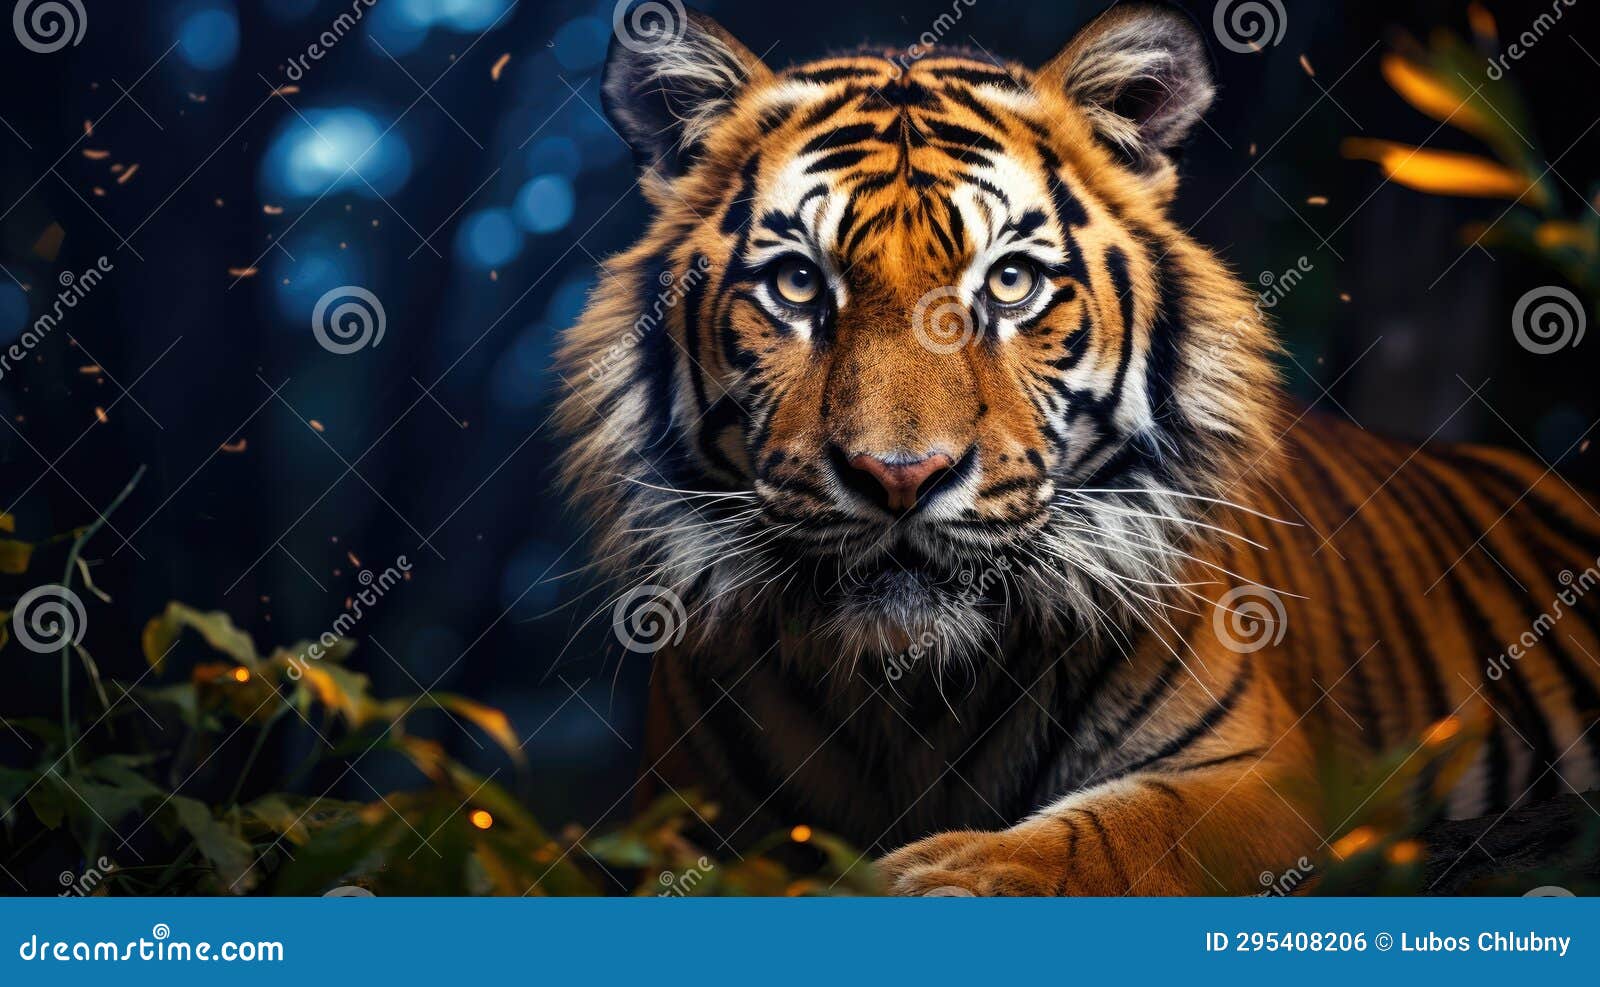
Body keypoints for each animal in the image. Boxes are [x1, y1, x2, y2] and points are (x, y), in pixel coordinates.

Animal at [555, 2, 1600, 895]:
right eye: (800, 284)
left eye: (1011, 281)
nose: (902, 477)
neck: (910, 699)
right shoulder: (676, 817)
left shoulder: (1263, 775)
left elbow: (1120, 832)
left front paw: (953, 874)